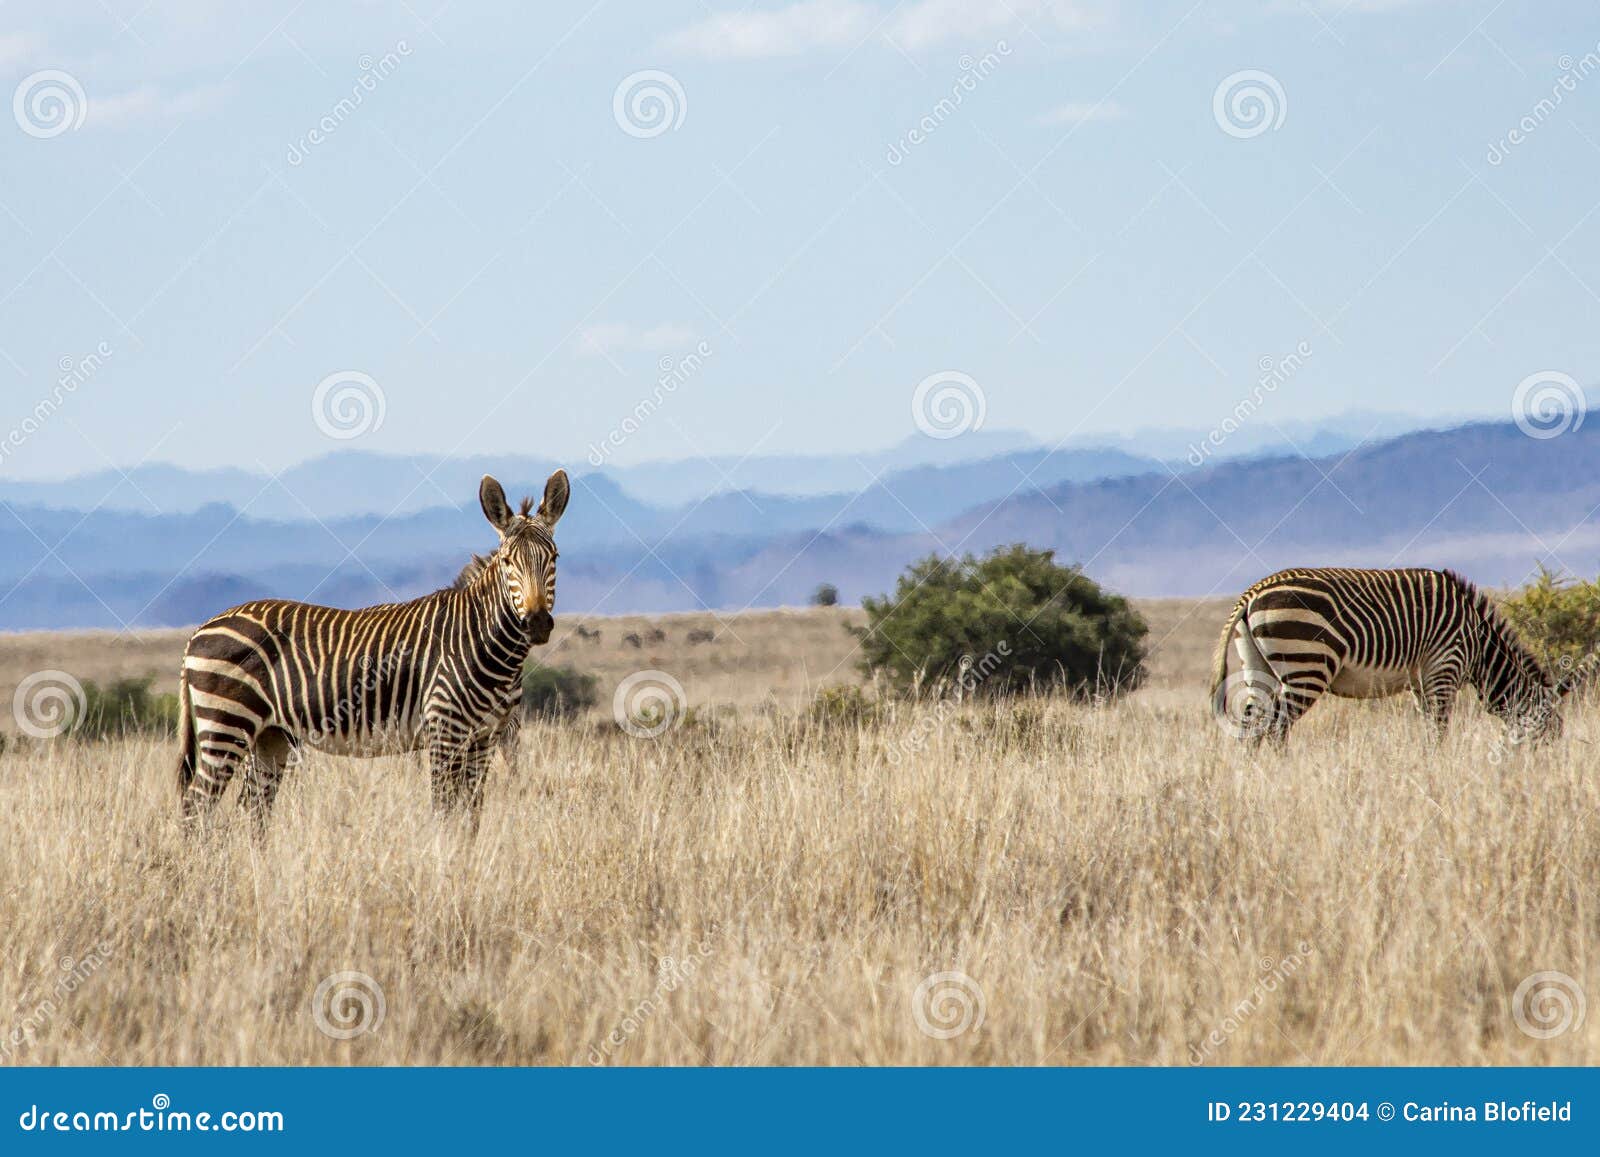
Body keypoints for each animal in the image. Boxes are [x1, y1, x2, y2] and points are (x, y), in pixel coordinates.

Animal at [176, 471, 567, 829]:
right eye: (508, 562)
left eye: (555, 558)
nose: (536, 622)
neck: (482, 642)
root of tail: (200, 629)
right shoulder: (444, 732)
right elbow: (444, 813)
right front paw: (444, 861)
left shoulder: (485, 737)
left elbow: (470, 817)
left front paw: (464, 860)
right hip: (226, 723)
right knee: (196, 807)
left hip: (269, 735)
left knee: (253, 807)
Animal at [1210, 566, 1581, 745]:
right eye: (1549, 733)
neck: (1478, 643)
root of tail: (1253, 592)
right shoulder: (1444, 668)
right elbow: (1439, 729)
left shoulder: (1421, 683)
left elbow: (1427, 728)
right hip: (1307, 666)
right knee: (1275, 727)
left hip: (1258, 667)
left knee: (1253, 724)